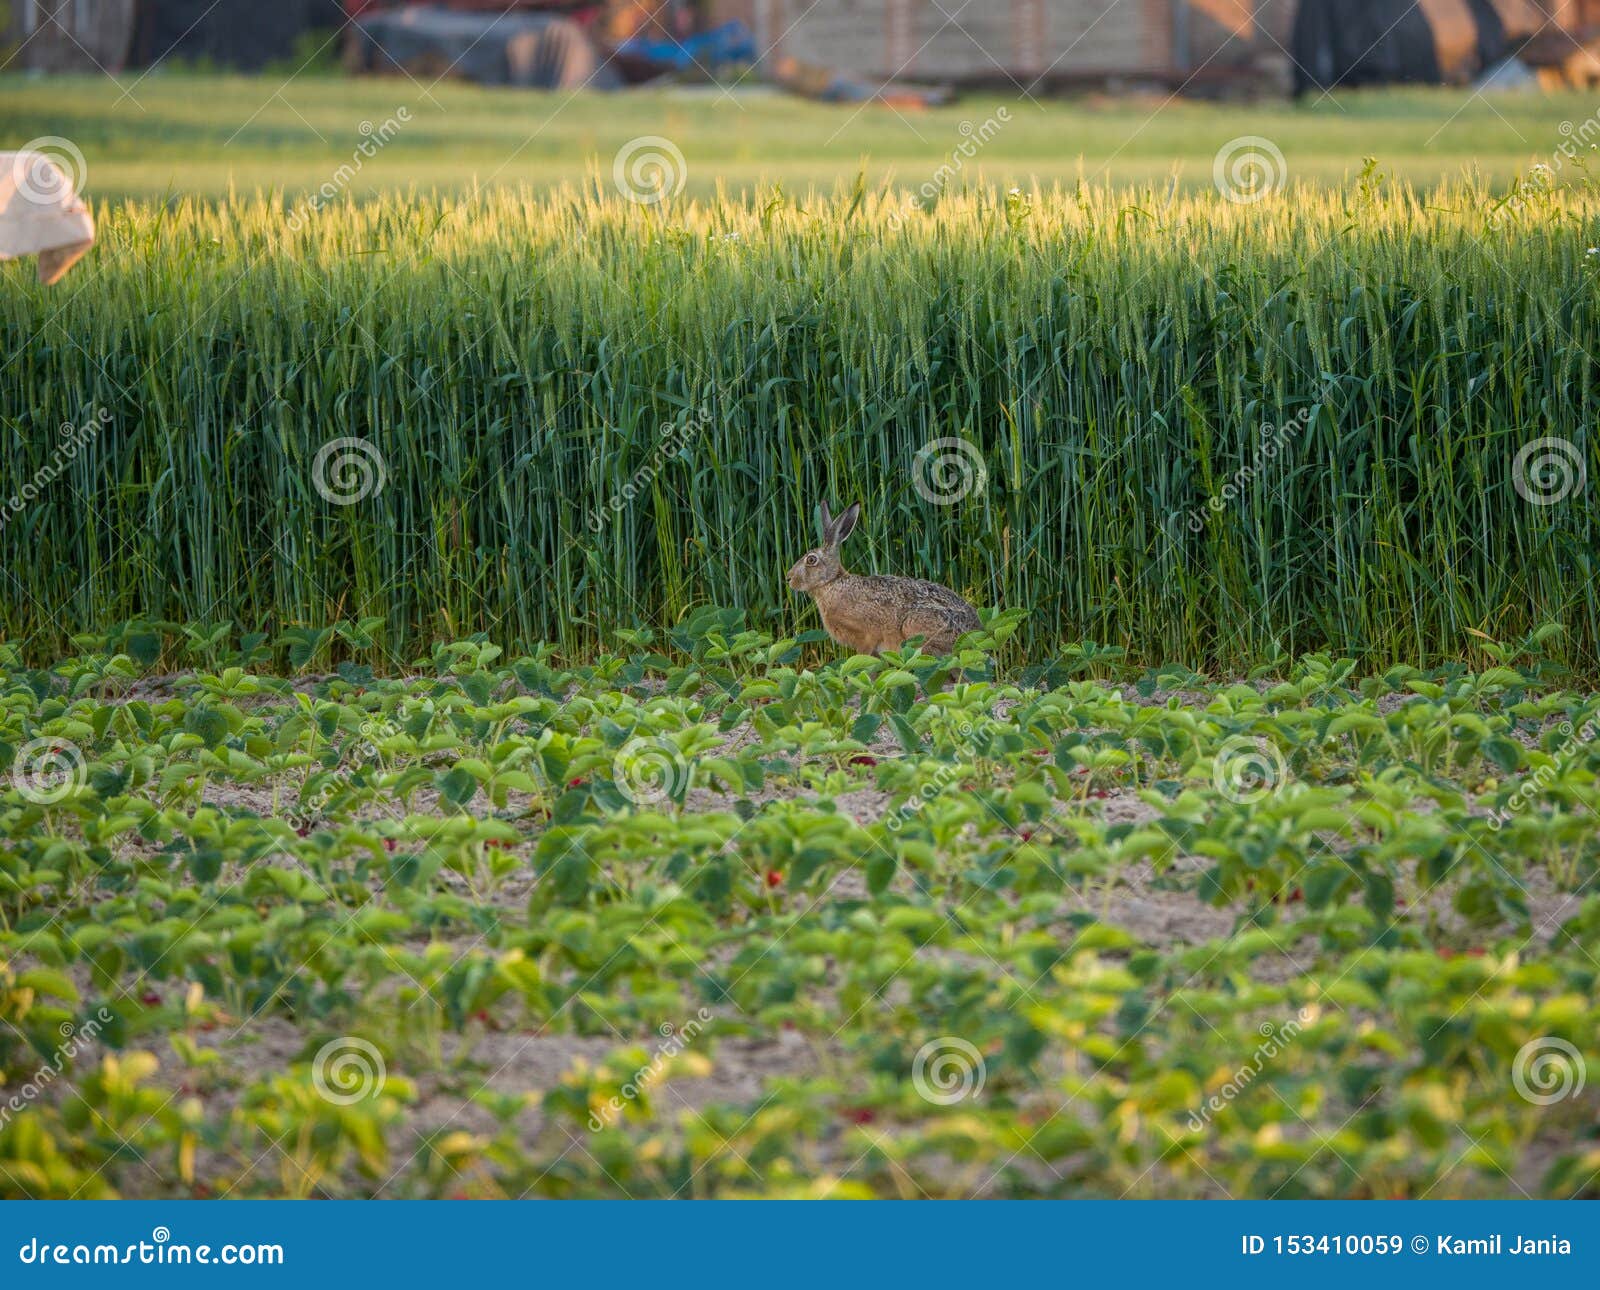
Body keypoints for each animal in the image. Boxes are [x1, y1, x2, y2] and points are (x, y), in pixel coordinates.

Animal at [786, 500, 980, 656]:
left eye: (811, 560)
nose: (788, 578)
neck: (832, 583)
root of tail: (978, 632)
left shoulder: (866, 636)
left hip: (914, 629)